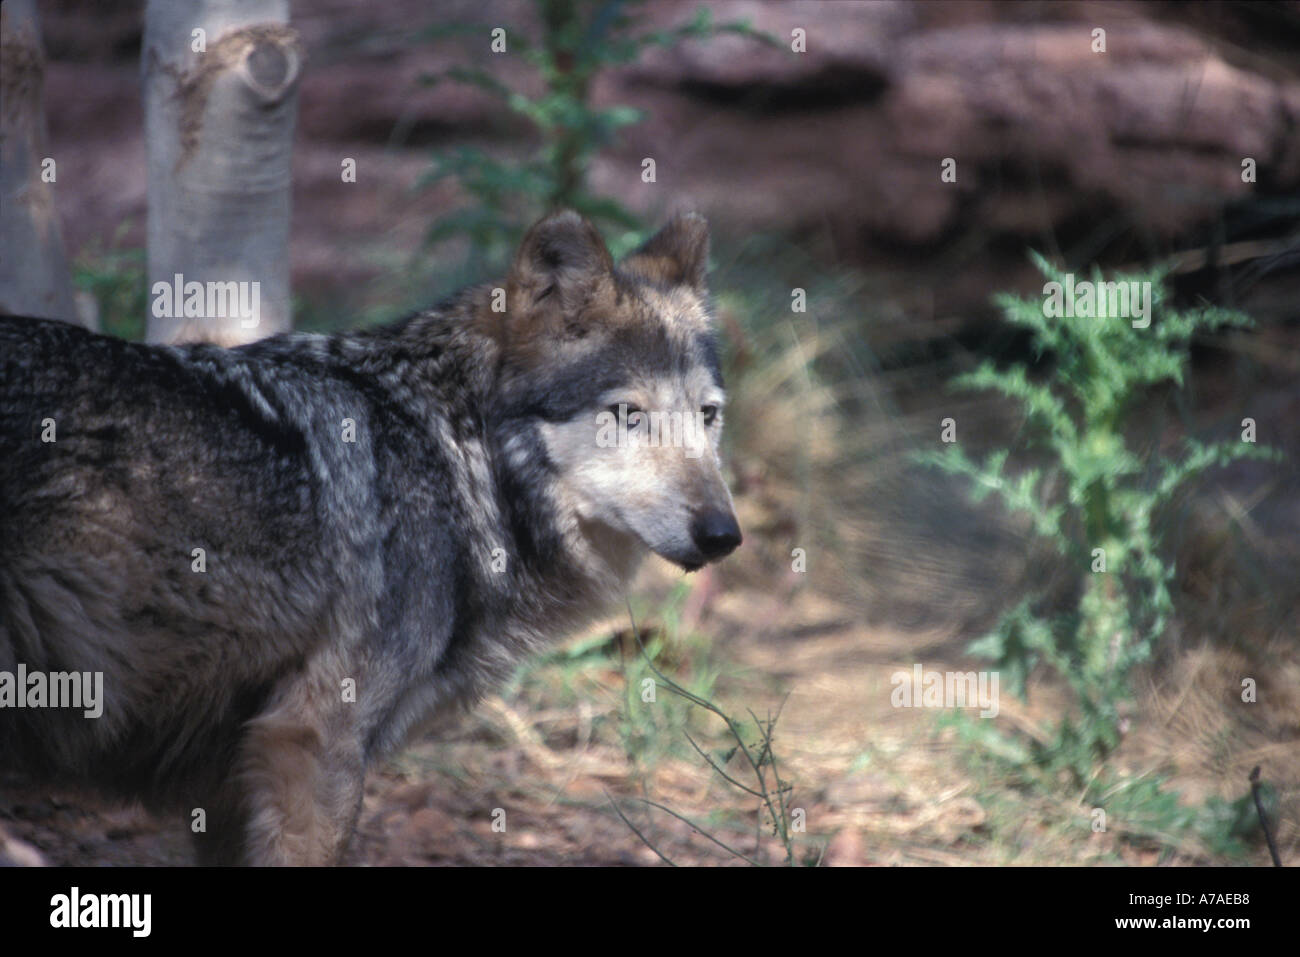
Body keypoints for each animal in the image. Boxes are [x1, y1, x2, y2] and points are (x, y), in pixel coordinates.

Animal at [0, 211, 741, 865]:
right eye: (628, 415)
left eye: (708, 417)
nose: (723, 535)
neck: (456, 454)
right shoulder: (312, 741)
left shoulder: (233, 780)